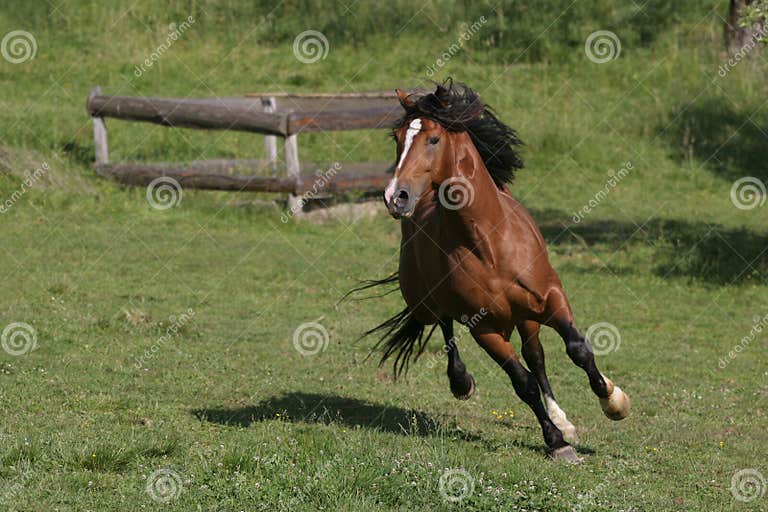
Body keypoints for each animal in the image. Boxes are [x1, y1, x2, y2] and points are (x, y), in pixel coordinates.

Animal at [359, 81, 630, 462]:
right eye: (397, 138)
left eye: (433, 139)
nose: (395, 197)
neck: (490, 244)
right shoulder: (484, 327)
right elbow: (522, 383)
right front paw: (556, 443)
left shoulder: (552, 298)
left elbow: (577, 350)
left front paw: (613, 402)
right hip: (426, 304)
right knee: (445, 326)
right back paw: (462, 383)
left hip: (526, 315)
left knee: (536, 356)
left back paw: (564, 419)